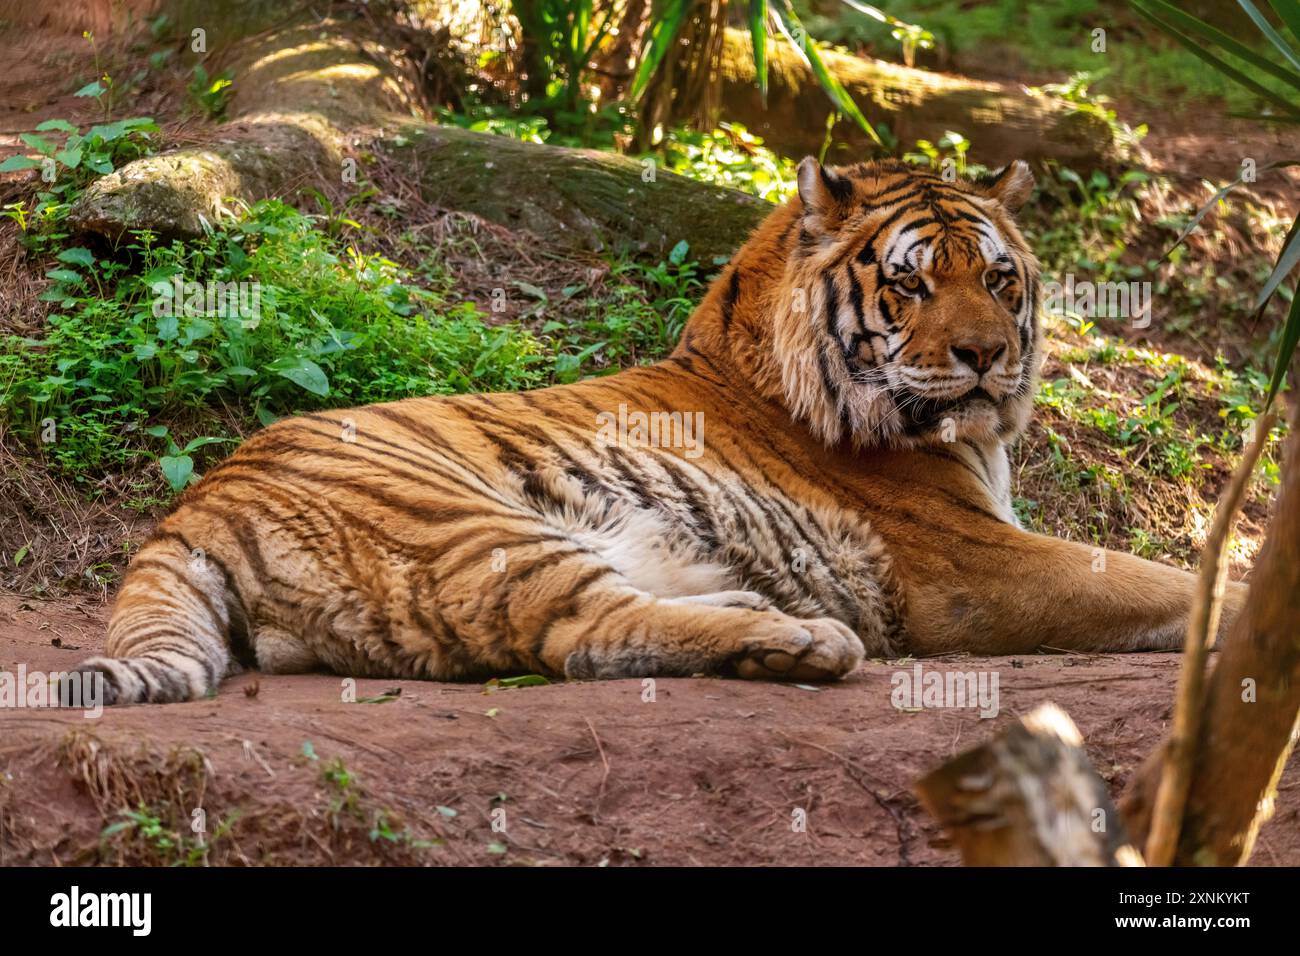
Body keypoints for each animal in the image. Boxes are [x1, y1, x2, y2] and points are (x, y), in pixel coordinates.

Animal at [73, 157, 1247, 704]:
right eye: (912, 283)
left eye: (1000, 279)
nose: (987, 356)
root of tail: (195, 499)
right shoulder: (971, 566)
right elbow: (1166, 580)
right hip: (467, 523)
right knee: (577, 635)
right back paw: (805, 642)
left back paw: (770, 619)